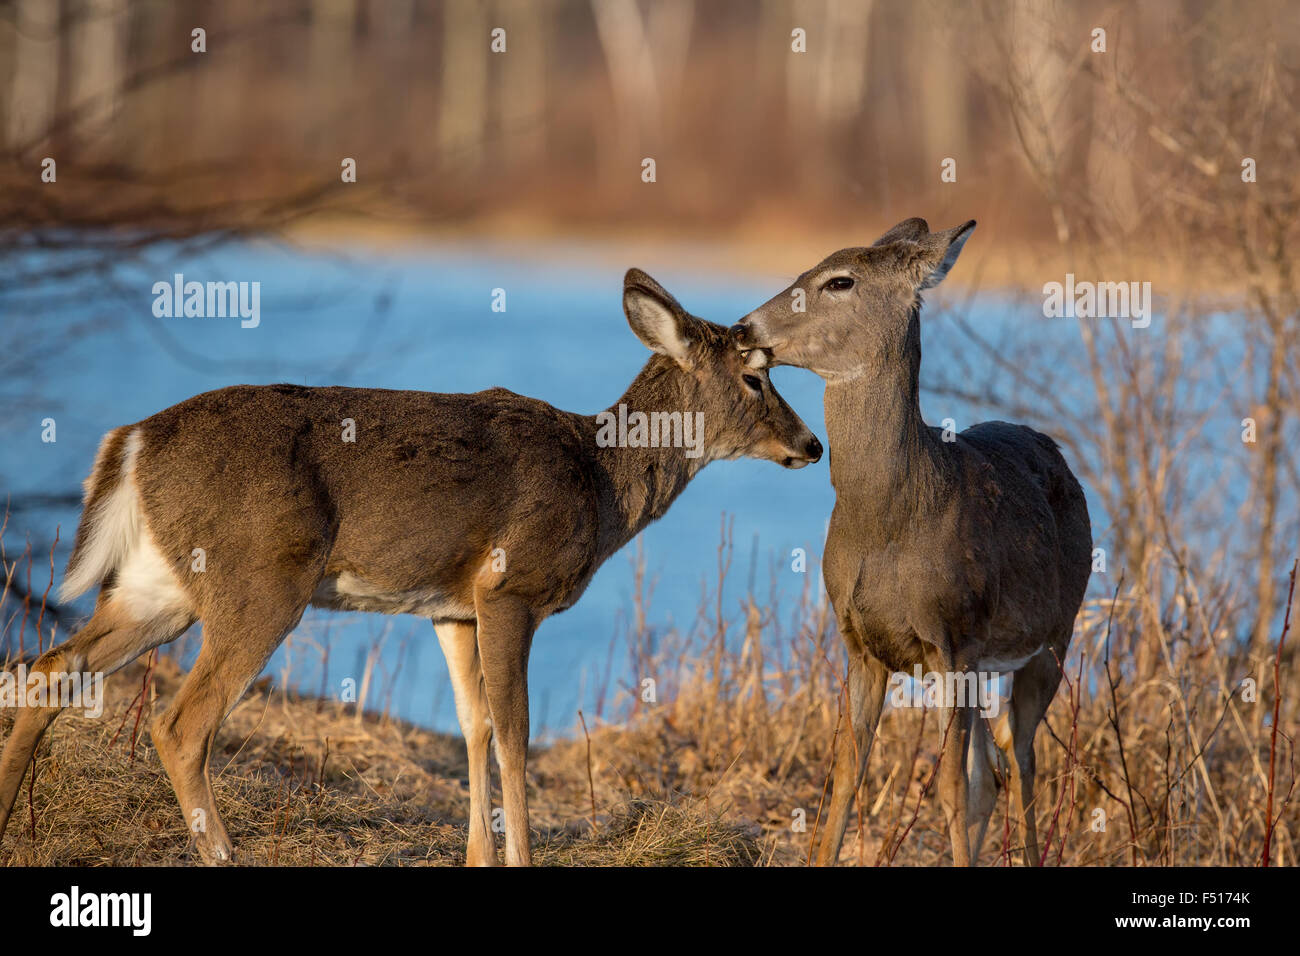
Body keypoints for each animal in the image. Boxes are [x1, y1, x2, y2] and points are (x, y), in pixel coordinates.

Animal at [0, 268, 822, 867]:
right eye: (755, 378)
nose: (811, 445)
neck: (602, 483)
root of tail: (132, 441)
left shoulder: (450, 607)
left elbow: (473, 726)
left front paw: (479, 856)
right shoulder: (509, 586)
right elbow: (515, 730)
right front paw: (519, 858)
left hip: (158, 585)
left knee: (48, 668)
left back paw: (10, 820)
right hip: (260, 577)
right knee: (180, 722)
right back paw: (224, 853)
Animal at [731, 218, 1092, 866]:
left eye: (839, 281)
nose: (744, 328)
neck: (889, 523)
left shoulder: (953, 638)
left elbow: (949, 787)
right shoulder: (860, 645)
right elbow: (847, 777)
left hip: (1054, 636)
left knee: (1022, 756)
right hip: (989, 662)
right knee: (995, 769)